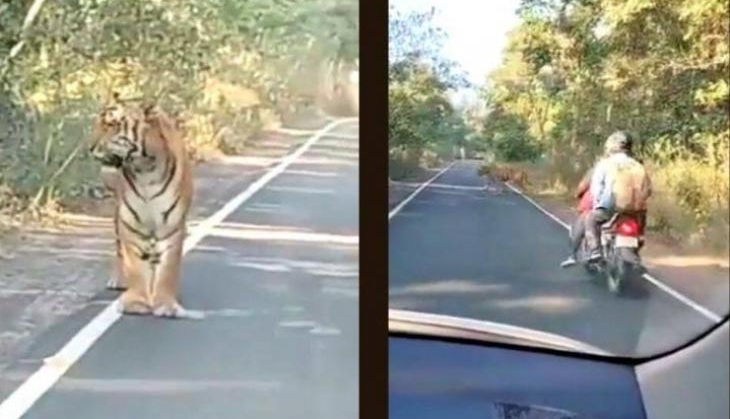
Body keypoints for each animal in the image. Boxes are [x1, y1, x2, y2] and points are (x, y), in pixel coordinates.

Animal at [88, 98, 201, 319]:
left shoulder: (171, 225)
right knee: (120, 250)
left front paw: (165, 304)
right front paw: (136, 302)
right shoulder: (131, 223)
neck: (146, 171)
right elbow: (135, 264)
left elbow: (168, 267)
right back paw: (119, 280)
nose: (89, 148)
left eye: (112, 125)